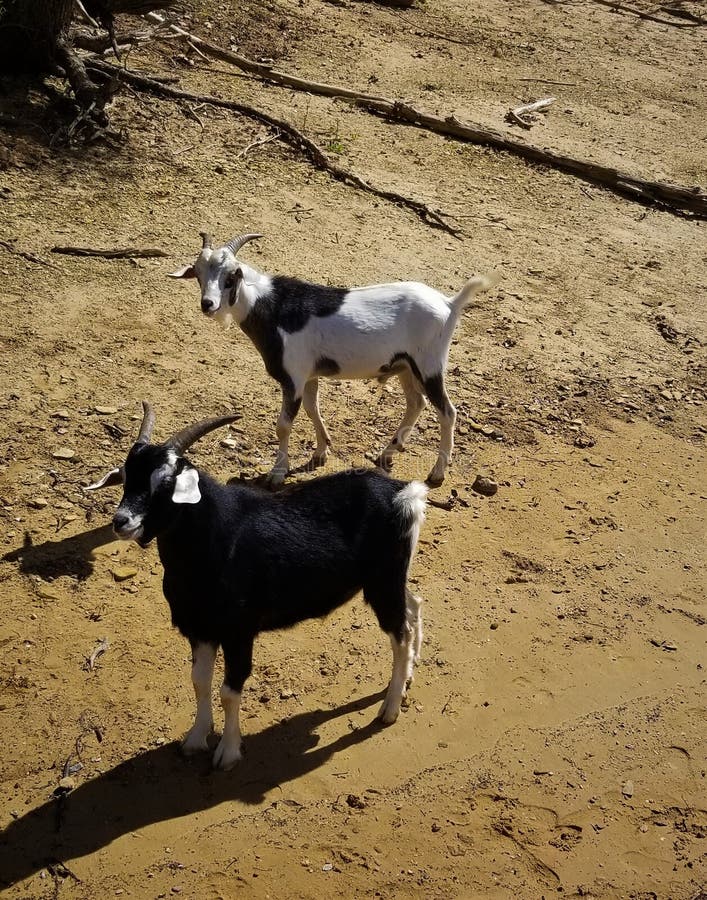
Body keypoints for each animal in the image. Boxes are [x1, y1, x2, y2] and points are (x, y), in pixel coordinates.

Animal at [87, 403, 427, 770]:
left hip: (383, 581)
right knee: (414, 605)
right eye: (126, 477)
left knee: (401, 632)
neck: (213, 540)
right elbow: (199, 681)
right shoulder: (200, 628)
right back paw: (408, 675)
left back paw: (390, 708)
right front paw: (195, 739)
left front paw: (228, 752)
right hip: (390, 578)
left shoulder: (238, 631)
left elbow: (228, 691)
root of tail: (402, 493)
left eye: (165, 483)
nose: (121, 522)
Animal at [169, 232, 496, 487]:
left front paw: (277, 473)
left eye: (230, 277)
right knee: (417, 404)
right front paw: (320, 452)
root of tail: (449, 303)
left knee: (447, 412)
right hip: (405, 367)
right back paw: (388, 453)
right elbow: (313, 409)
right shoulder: (310, 375)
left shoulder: (293, 377)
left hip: (429, 365)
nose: (208, 304)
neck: (272, 307)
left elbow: (283, 425)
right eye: (198, 274)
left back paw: (437, 473)